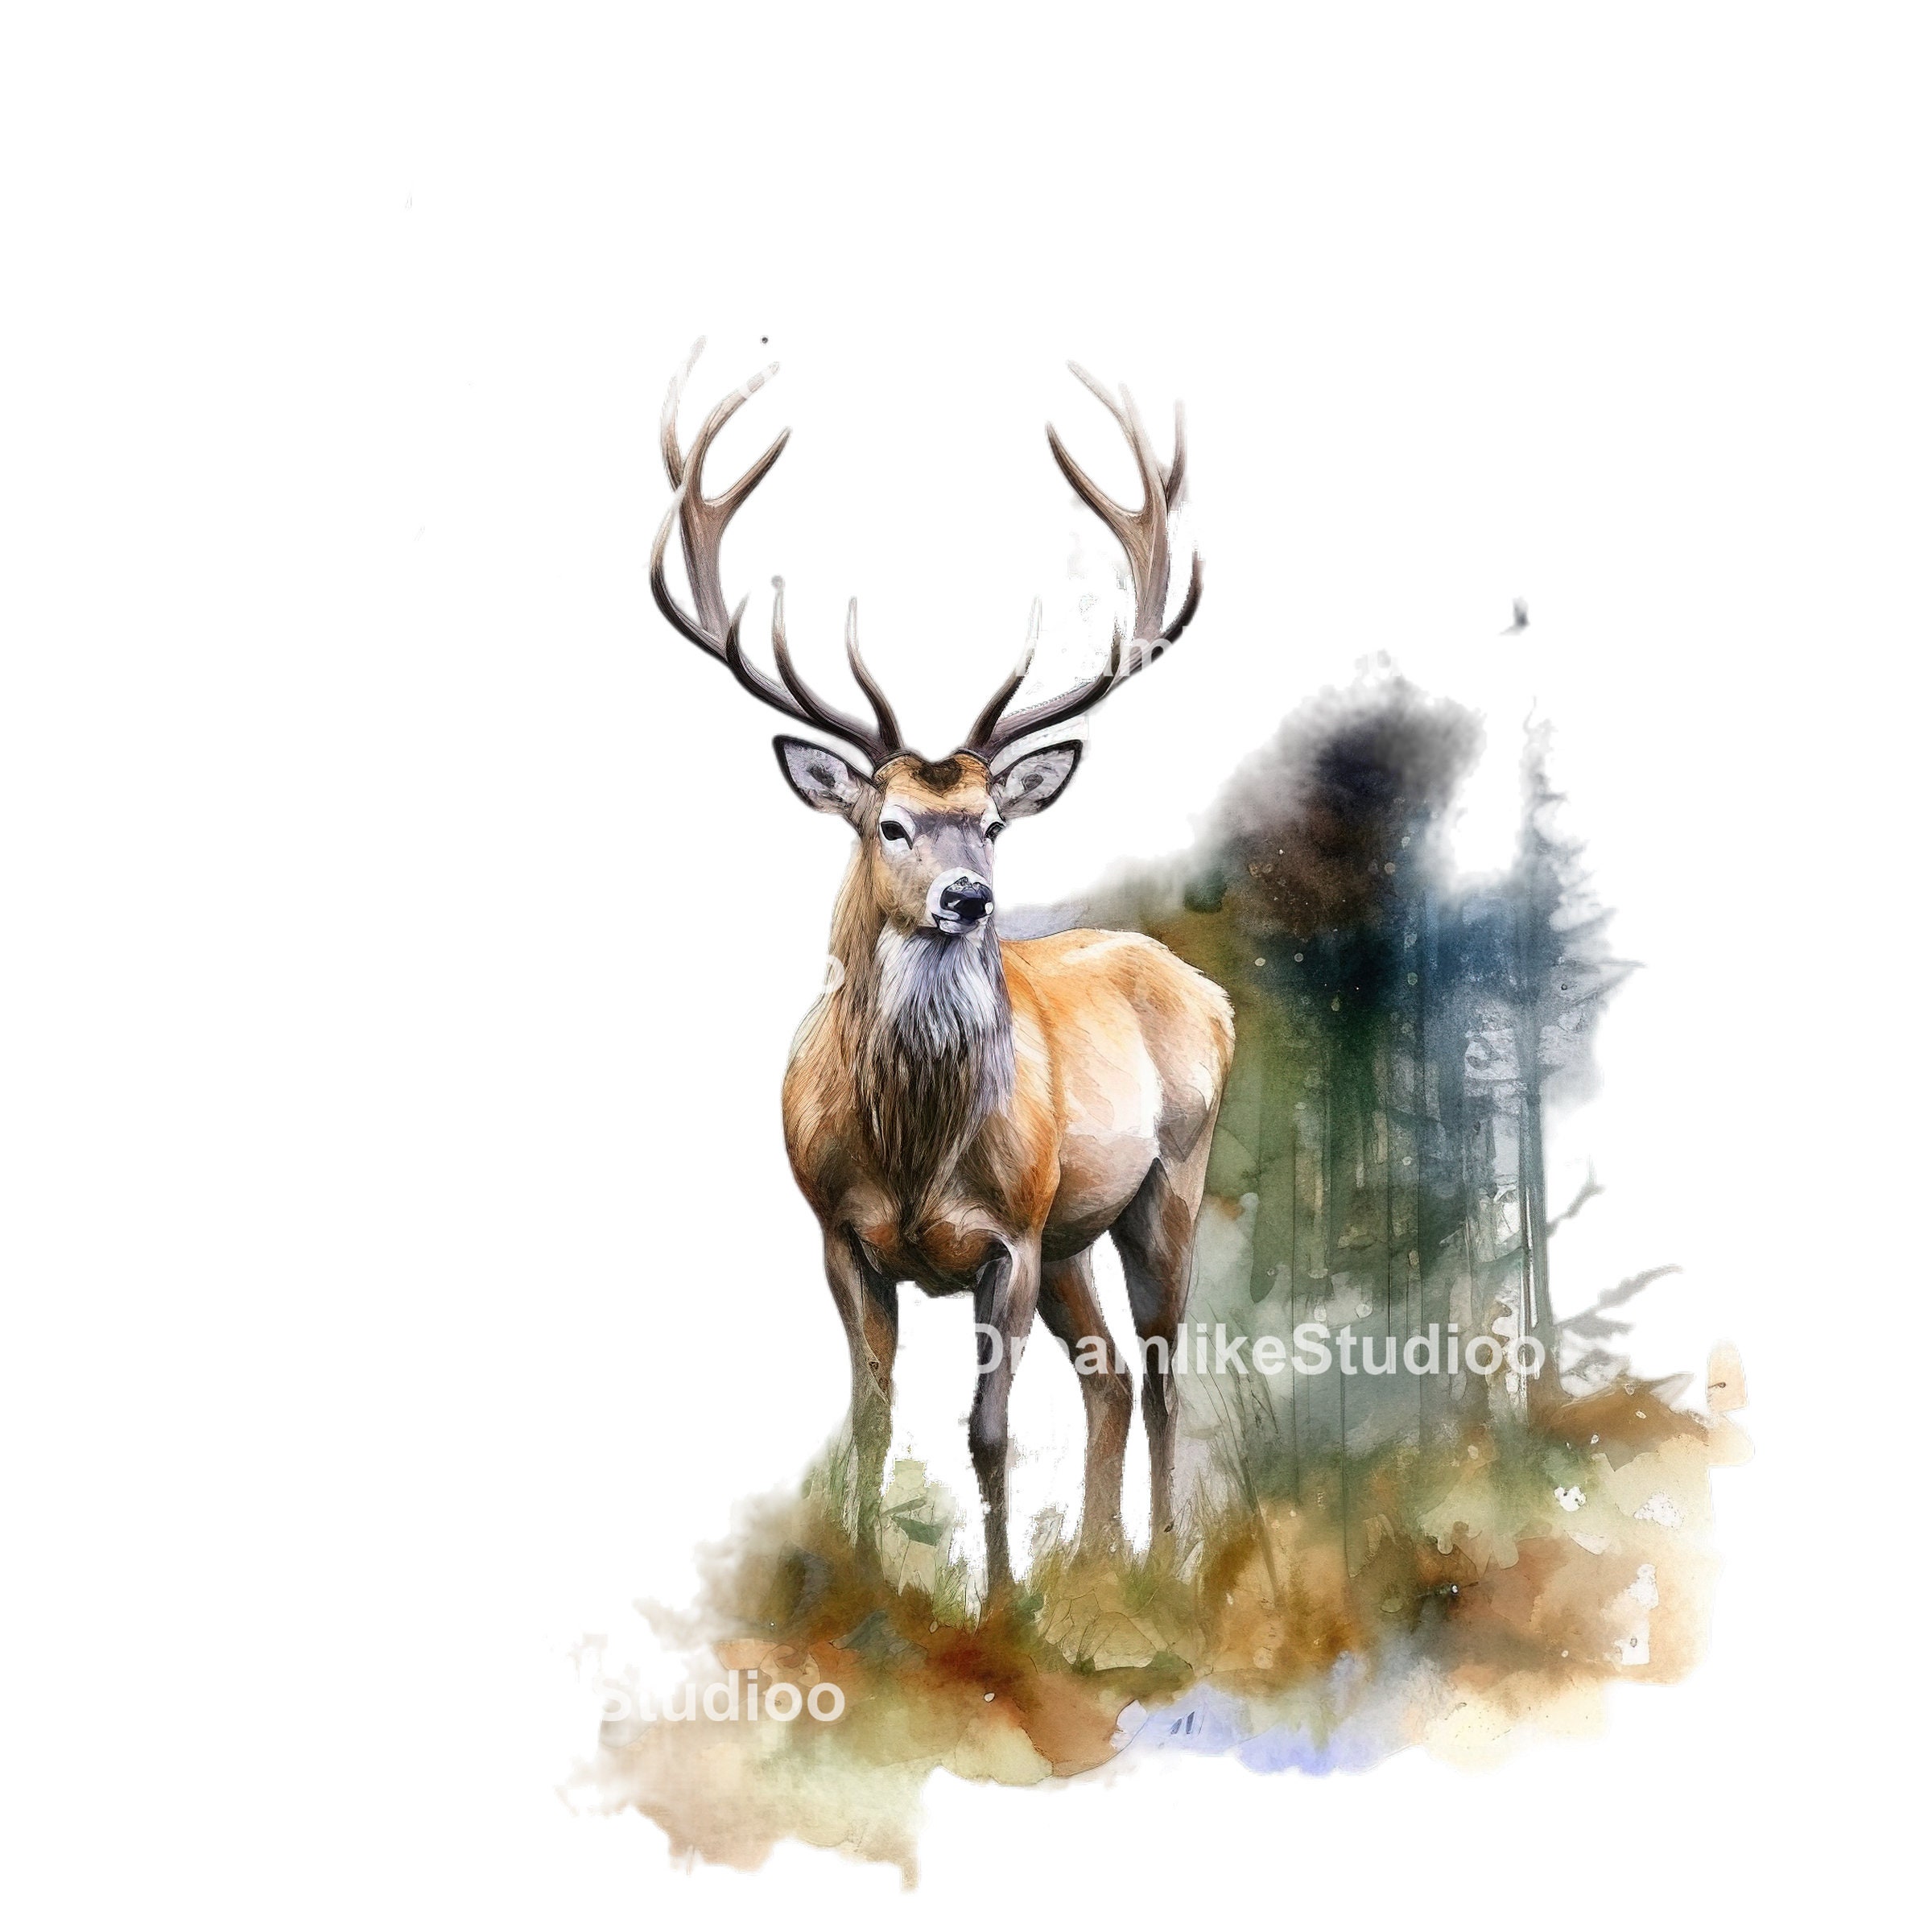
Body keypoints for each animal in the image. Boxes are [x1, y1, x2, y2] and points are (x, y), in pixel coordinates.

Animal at [649, 343, 1234, 1596]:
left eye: (994, 823)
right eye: (891, 824)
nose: (971, 898)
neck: (912, 1150)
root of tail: (1208, 991)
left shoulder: (1007, 1236)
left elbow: (988, 1429)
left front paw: (1002, 1602)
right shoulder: (839, 1232)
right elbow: (872, 1419)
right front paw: (871, 1584)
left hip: (1167, 1179)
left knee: (1164, 1368)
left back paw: (1161, 1560)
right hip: (1074, 1235)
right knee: (1111, 1375)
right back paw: (1099, 1564)